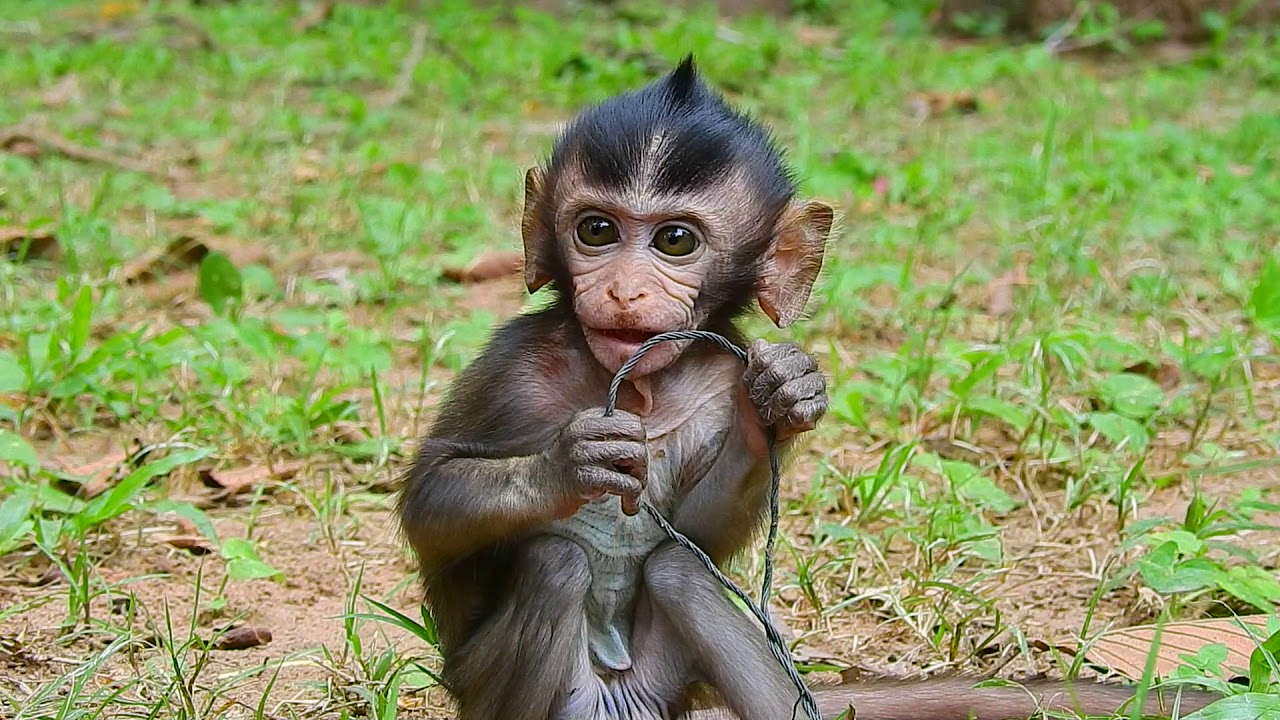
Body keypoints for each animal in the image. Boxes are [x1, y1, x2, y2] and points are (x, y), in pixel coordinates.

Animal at [397, 57, 1217, 720]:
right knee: (556, 563)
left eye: (673, 241)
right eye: (596, 230)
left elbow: (695, 536)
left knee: (678, 573)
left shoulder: (718, 373)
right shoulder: (517, 367)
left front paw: (784, 397)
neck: (638, 391)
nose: (625, 292)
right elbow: (432, 498)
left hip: (668, 688)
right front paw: (572, 462)